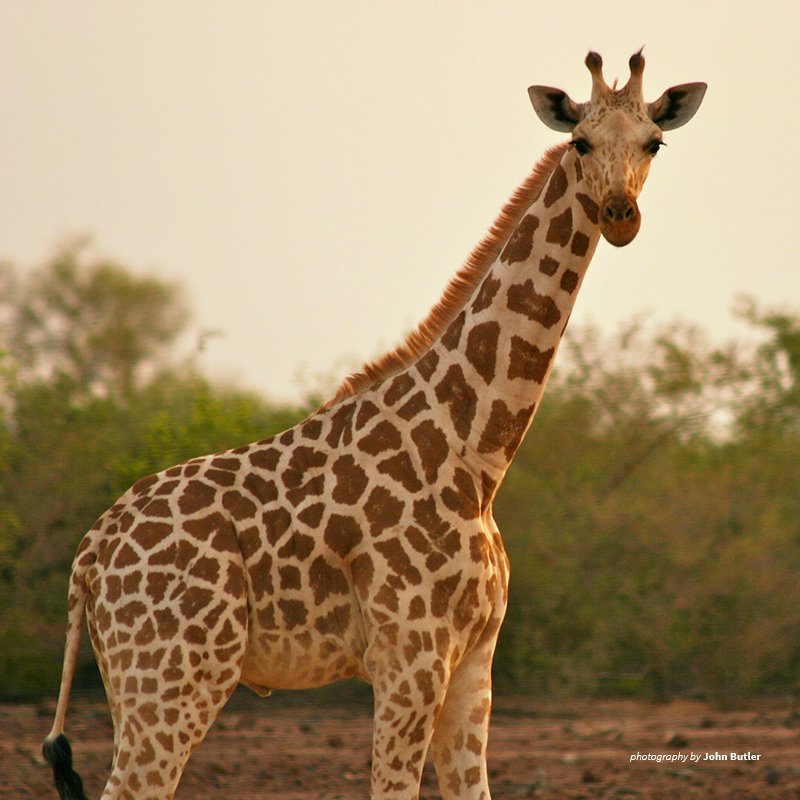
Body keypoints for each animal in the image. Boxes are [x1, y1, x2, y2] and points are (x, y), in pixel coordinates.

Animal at [43, 51, 705, 800]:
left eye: (654, 142)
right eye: (581, 142)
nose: (620, 214)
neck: (477, 454)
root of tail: (90, 558)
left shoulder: (473, 665)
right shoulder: (409, 658)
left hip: (140, 680)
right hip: (172, 675)